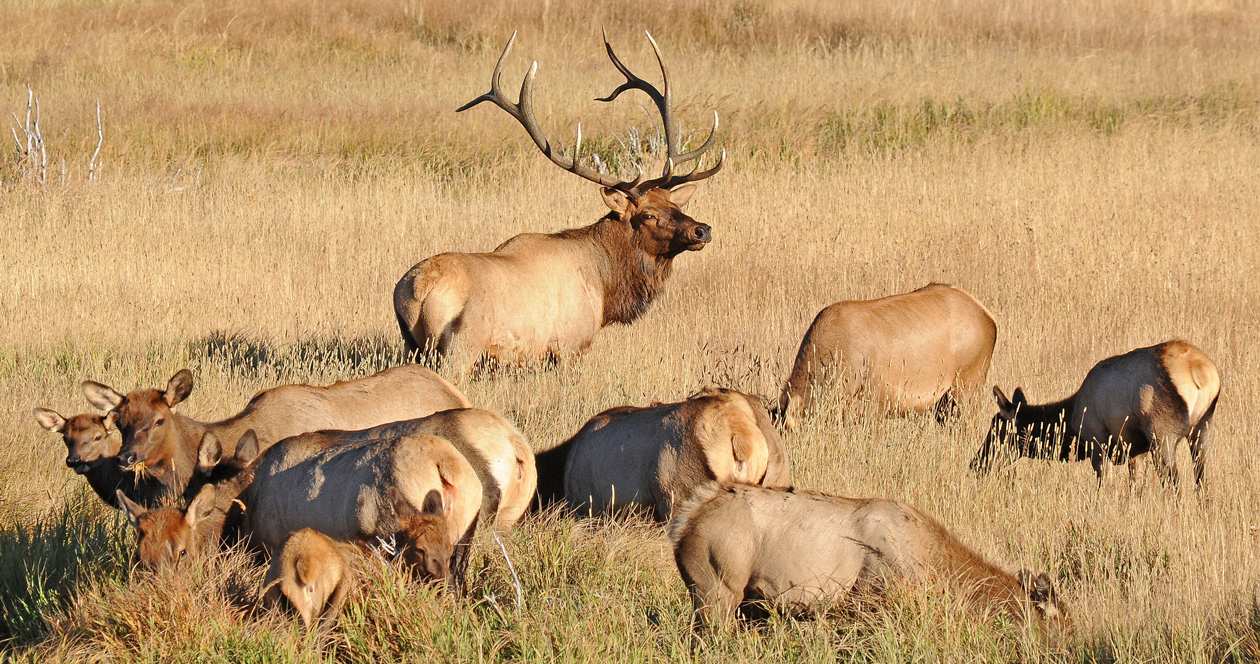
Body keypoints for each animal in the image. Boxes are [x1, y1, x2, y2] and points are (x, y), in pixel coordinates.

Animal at [394, 30, 723, 374]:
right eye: (647, 215)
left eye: (677, 207)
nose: (702, 230)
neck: (603, 287)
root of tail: (416, 291)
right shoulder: (569, 346)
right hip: (459, 349)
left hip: (412, 347)